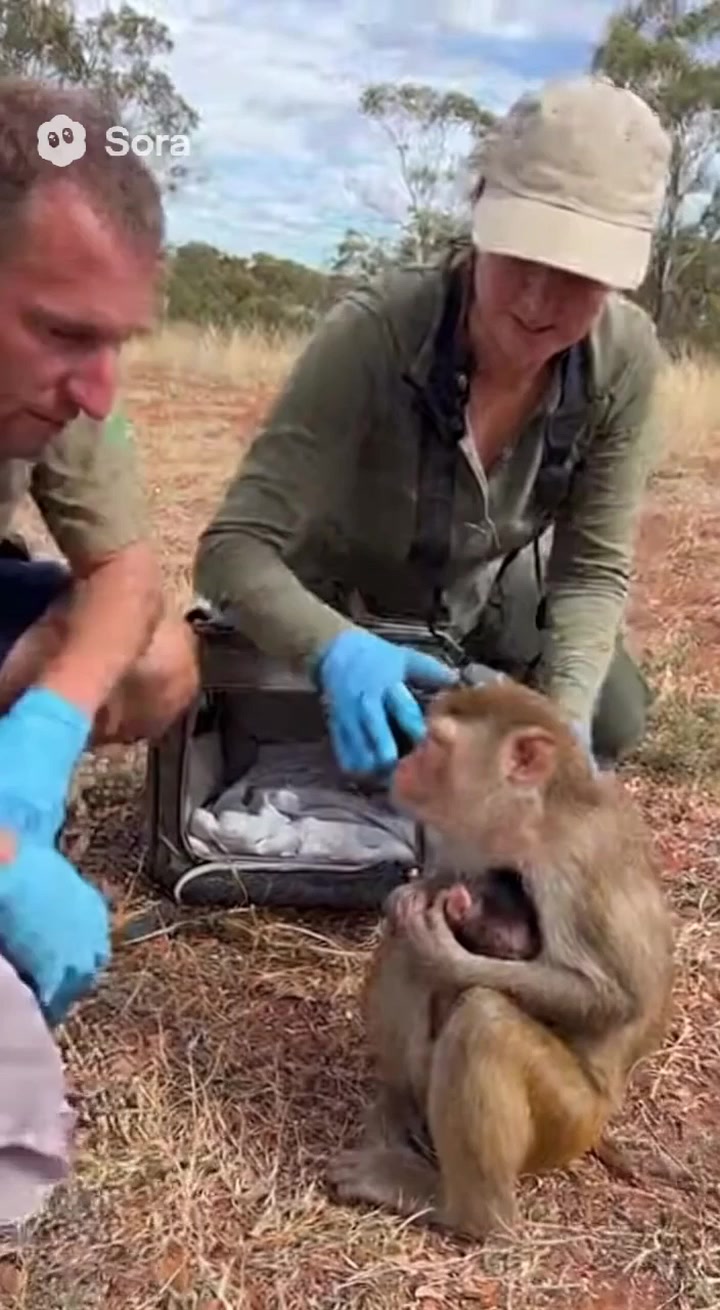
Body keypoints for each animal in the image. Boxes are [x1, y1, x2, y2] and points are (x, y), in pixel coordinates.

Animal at [327, 680, 675, 1240]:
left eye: (436, 745)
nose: (405, 763)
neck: (529, 820)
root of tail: (602, 1117)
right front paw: (414, 898)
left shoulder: (576, 866)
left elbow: (615, 1000)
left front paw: (448, 955)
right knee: (403, 953)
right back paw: (400, 1109)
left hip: (569, 1123)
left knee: (485, 1023)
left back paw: (465, 1212)